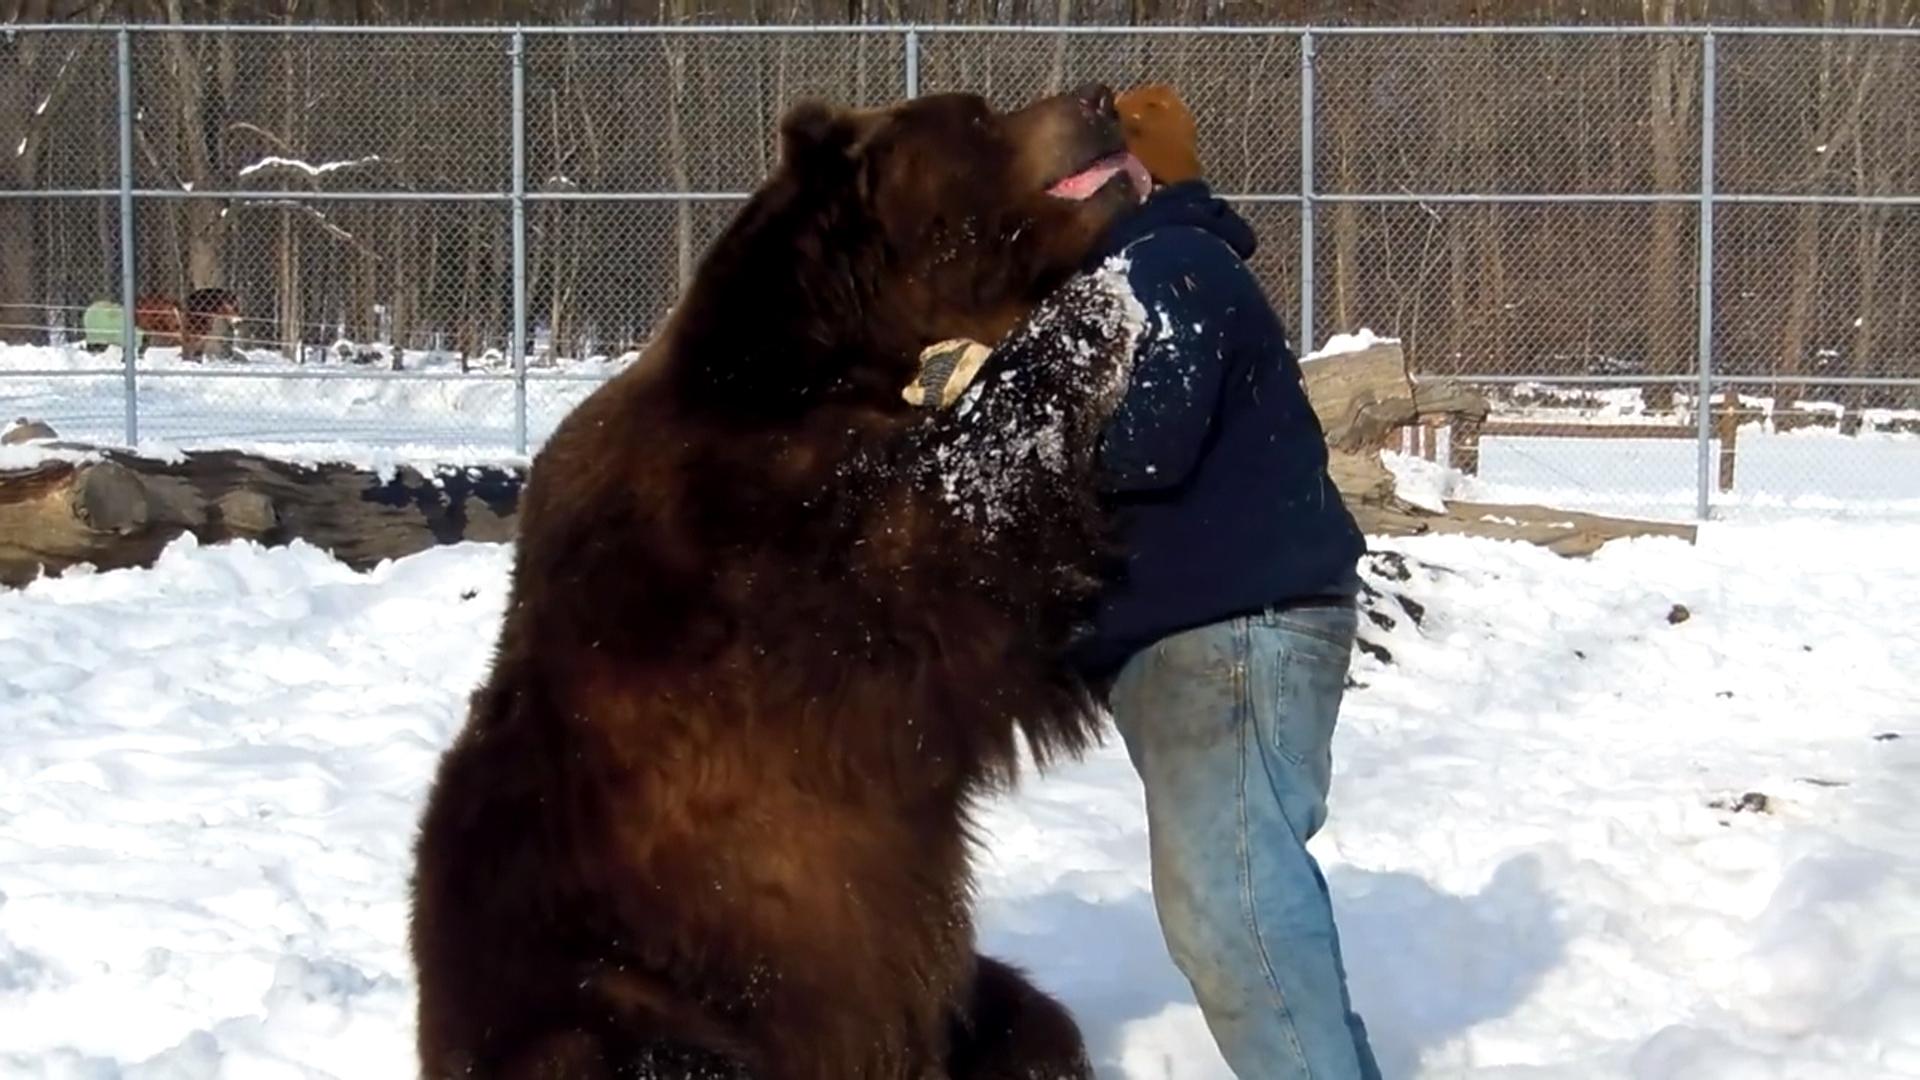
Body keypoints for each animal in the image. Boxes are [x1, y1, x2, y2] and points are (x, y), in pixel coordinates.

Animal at [408, 83, 1152, 1080]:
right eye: (975, 115)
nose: (1099, 98)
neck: (840, 354)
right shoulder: (730, 542)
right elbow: (938, 547)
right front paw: (1093, 307)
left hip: (941, 998)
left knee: (1027, 1019)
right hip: (612, 985)